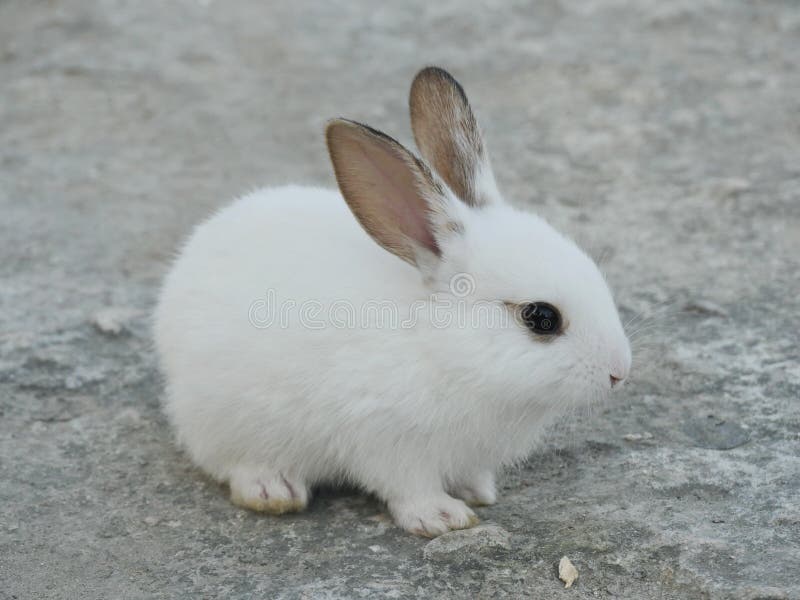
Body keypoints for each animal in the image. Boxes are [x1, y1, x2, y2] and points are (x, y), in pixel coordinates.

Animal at [154, 66, 632, 537]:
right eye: (541, 317)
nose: (619, 373)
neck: (444, 348)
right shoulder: (389, 443)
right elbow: (409, 488)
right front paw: (442, 518)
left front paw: (479, 492)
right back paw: (274, 491)